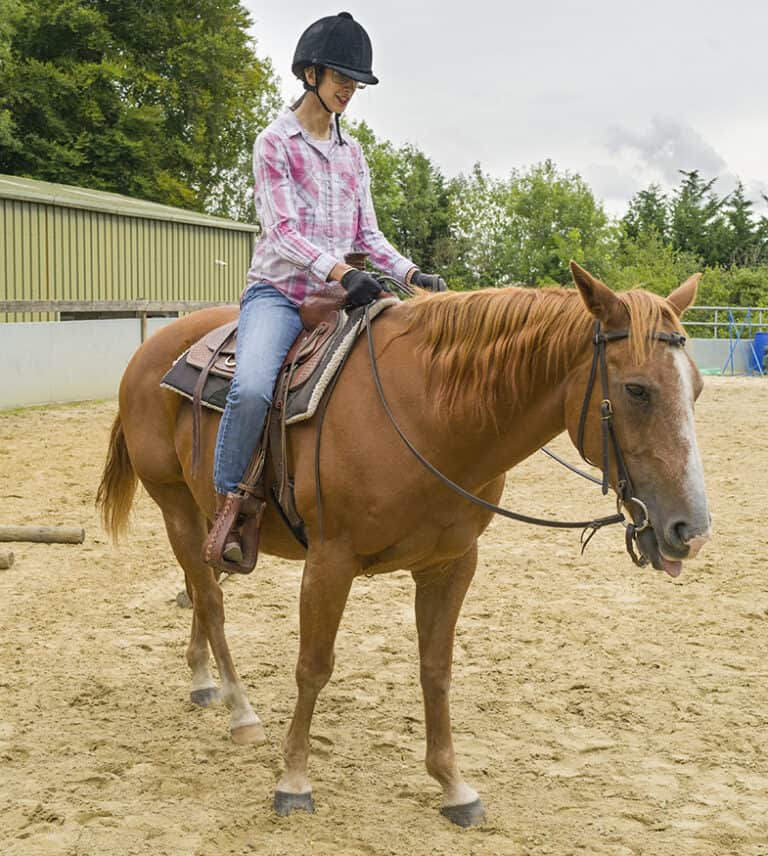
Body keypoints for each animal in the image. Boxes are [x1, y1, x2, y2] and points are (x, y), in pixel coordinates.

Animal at [96, 262, 711, 826]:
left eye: (697, 389)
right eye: (636, 390)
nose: (691, 529)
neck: (427, 414)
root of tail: (149, 353)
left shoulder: (452, 564)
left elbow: (436, 669)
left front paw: (453, 786)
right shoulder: (330, 561)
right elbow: (313, 665)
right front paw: (294, 780)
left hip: (209, 518)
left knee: (202, 587)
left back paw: (204, 682)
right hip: (176, 506)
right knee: (211, 597)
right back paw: (239, 708)